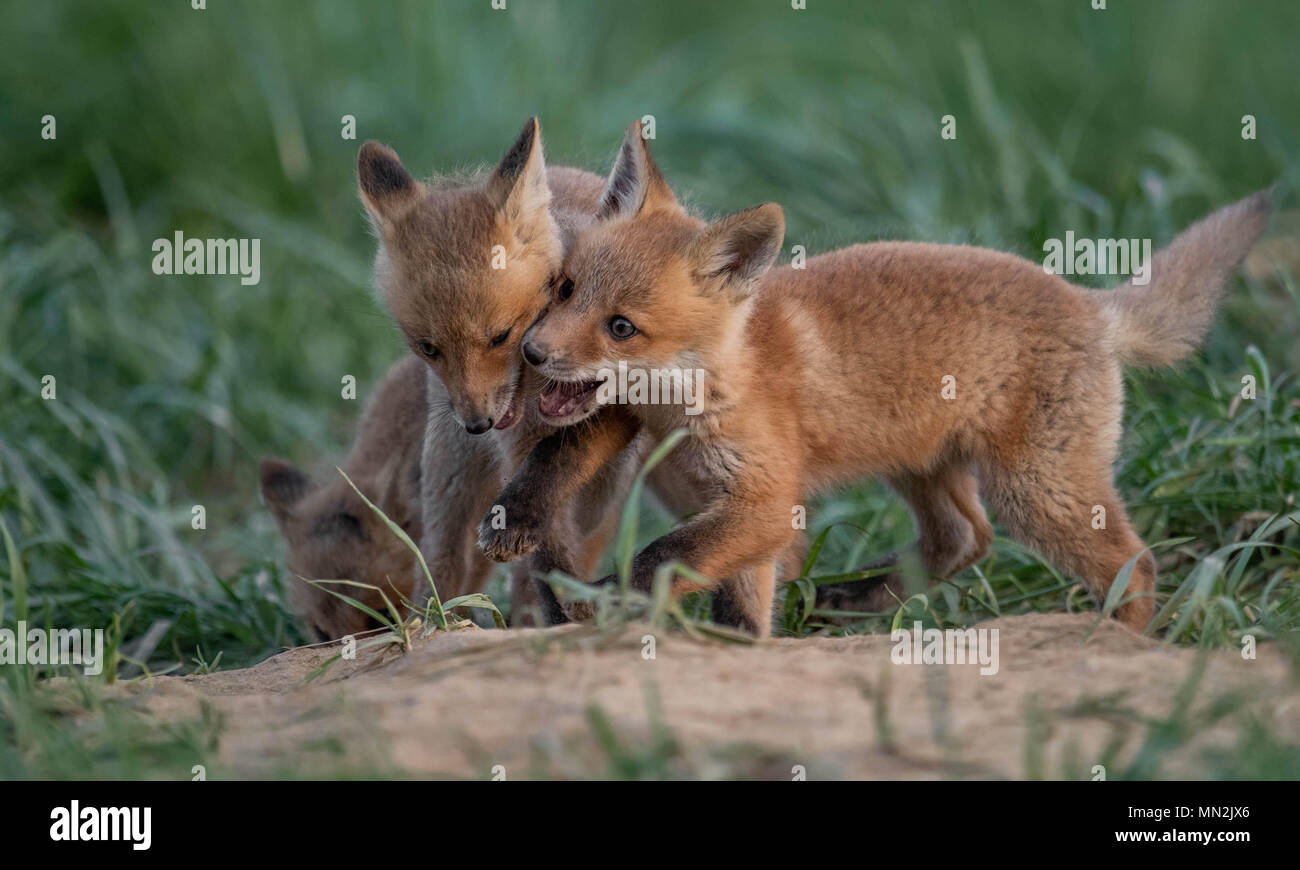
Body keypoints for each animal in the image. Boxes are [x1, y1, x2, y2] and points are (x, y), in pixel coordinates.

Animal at [478, 120, 1273, 637]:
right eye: (564, 289)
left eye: (621, 327)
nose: (534, 354)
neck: (707, 389)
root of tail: (1093, 304)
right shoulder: (652, 439)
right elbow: (563, 459)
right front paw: (519, 516)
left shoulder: (768, 501)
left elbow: (661, 558)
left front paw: (601, 602)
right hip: (924, 464)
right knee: (964, 540)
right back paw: (854, 600)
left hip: (1038, 490)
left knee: (1135, 565)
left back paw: (1126, 641)